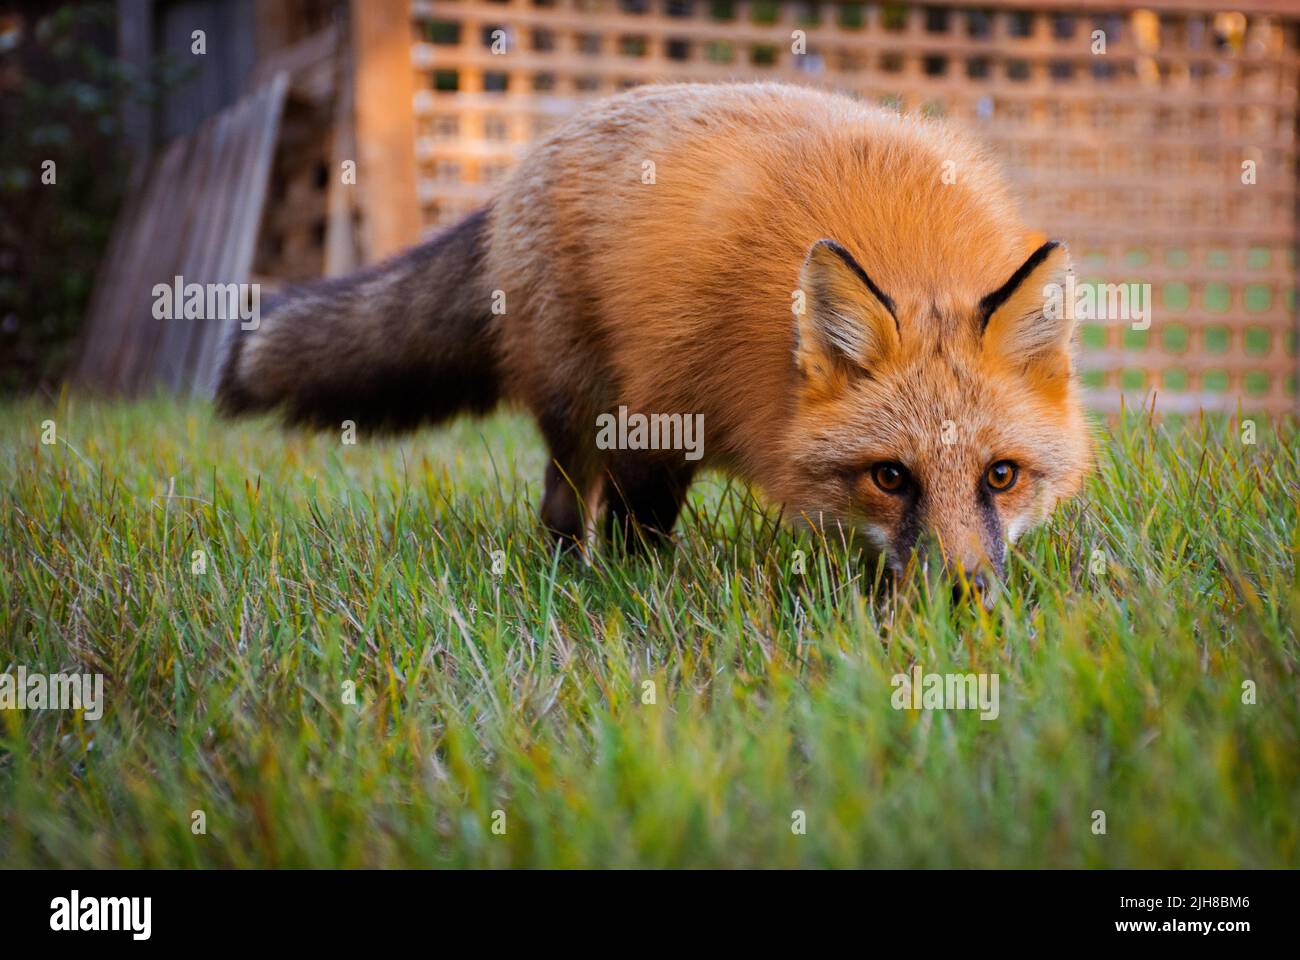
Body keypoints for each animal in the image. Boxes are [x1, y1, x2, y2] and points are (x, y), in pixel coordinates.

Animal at [217, 82, 1092, 592]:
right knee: (563, 504)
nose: (966, 595)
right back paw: (567, 577)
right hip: (577, 401)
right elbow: (641, 527)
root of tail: (524, 163)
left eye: (1001, 476)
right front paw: (641, 601)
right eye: (891, 476)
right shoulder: (661, 410)